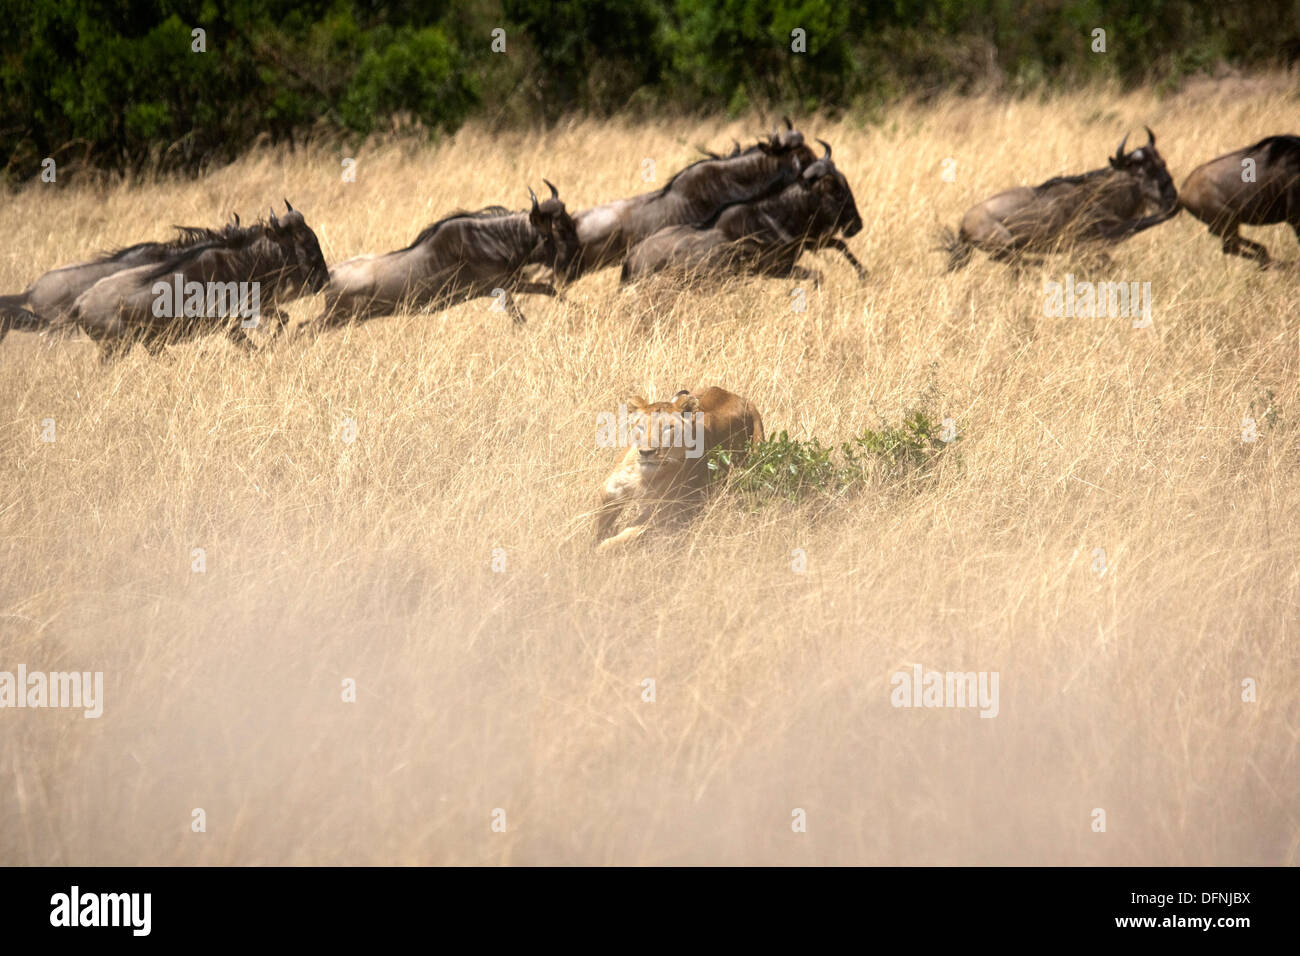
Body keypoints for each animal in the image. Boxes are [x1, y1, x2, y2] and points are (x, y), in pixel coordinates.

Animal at [594, 386, 764, 551]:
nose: (646, 452)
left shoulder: (663, 510)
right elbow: (600, 522)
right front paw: (594, 542)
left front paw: (600, 550)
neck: (643, 475)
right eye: (640, 428)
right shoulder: (611, 491)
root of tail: (742, 399)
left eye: (668, 428)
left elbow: (627, 535)